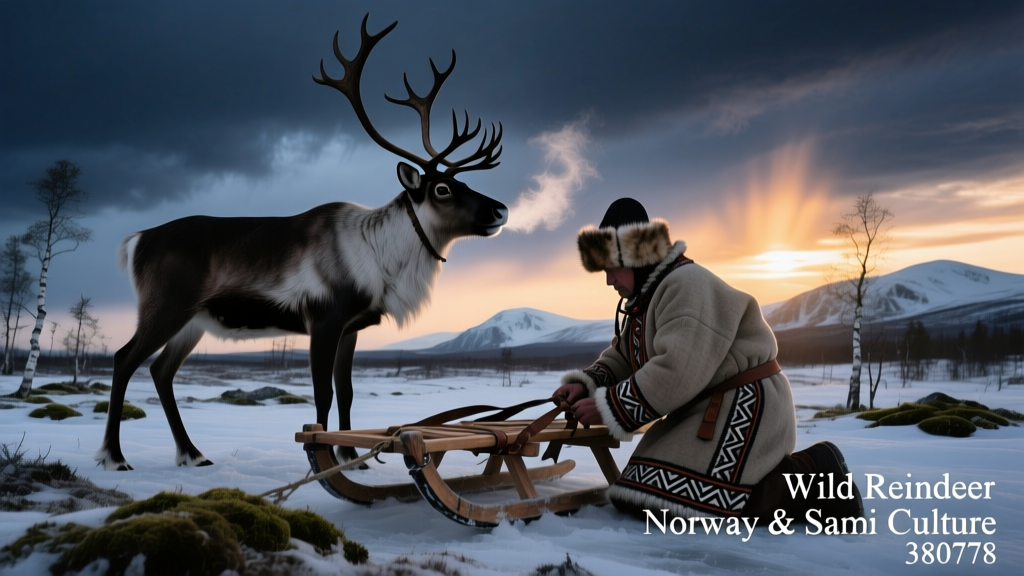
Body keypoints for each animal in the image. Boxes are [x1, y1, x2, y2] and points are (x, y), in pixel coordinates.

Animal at [97, 15, 508, 471]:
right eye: (442, 189)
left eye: (462, 182)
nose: (500, 210)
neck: (381, 258)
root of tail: (137, 240)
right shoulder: (323, 319)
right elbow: (323, 392)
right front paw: (325, 457)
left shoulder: (351, 327)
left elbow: (346, 391)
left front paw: (353, 456)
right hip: (165, 306)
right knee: (124, 359)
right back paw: (115, 456)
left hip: (193, 321)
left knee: (161, 371)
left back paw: (193, 453)